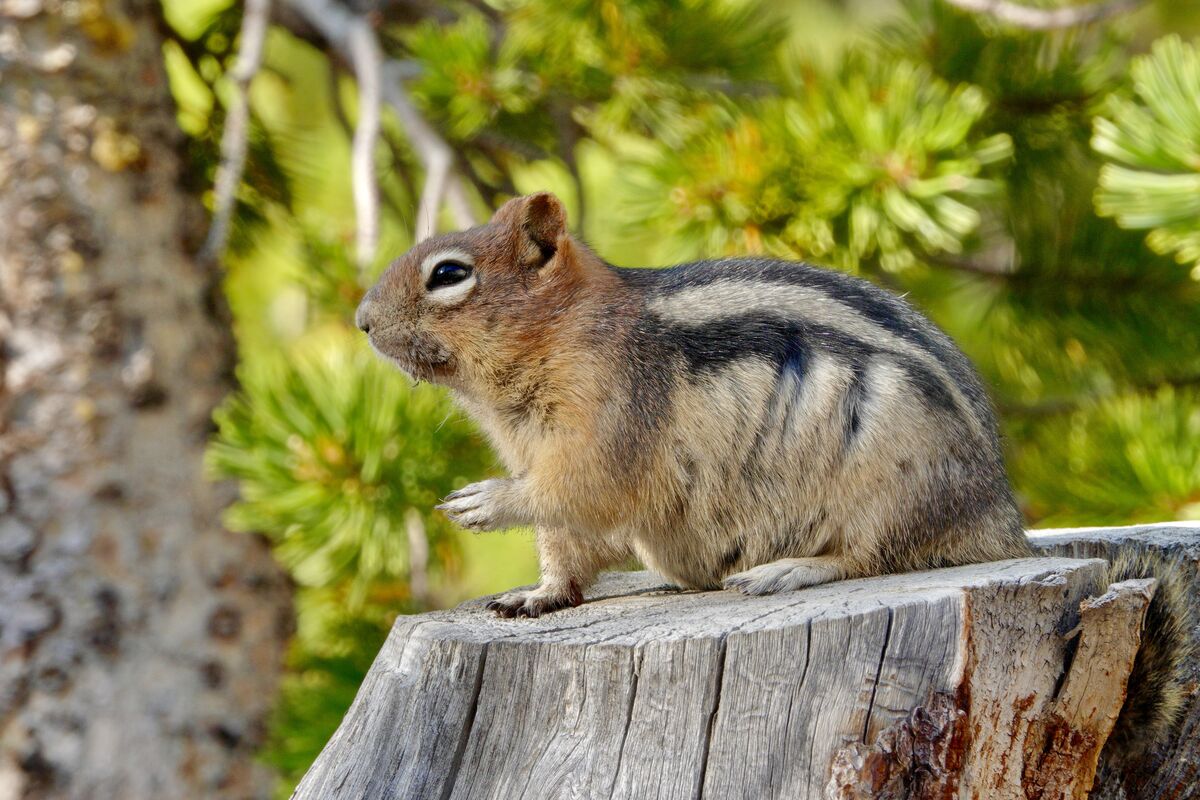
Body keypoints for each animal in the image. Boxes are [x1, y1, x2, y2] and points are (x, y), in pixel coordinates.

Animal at [355, 192, 1193, 764]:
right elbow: (563, 551)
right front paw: (535, 597)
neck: (567, 332)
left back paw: (784, 571)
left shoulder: (600, 433)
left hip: (889, 481)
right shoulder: (548, 464)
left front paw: (480, 500)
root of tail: (1000, 521)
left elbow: (571, 493)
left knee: (871, 556)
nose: (361, 320)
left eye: (449, 274)